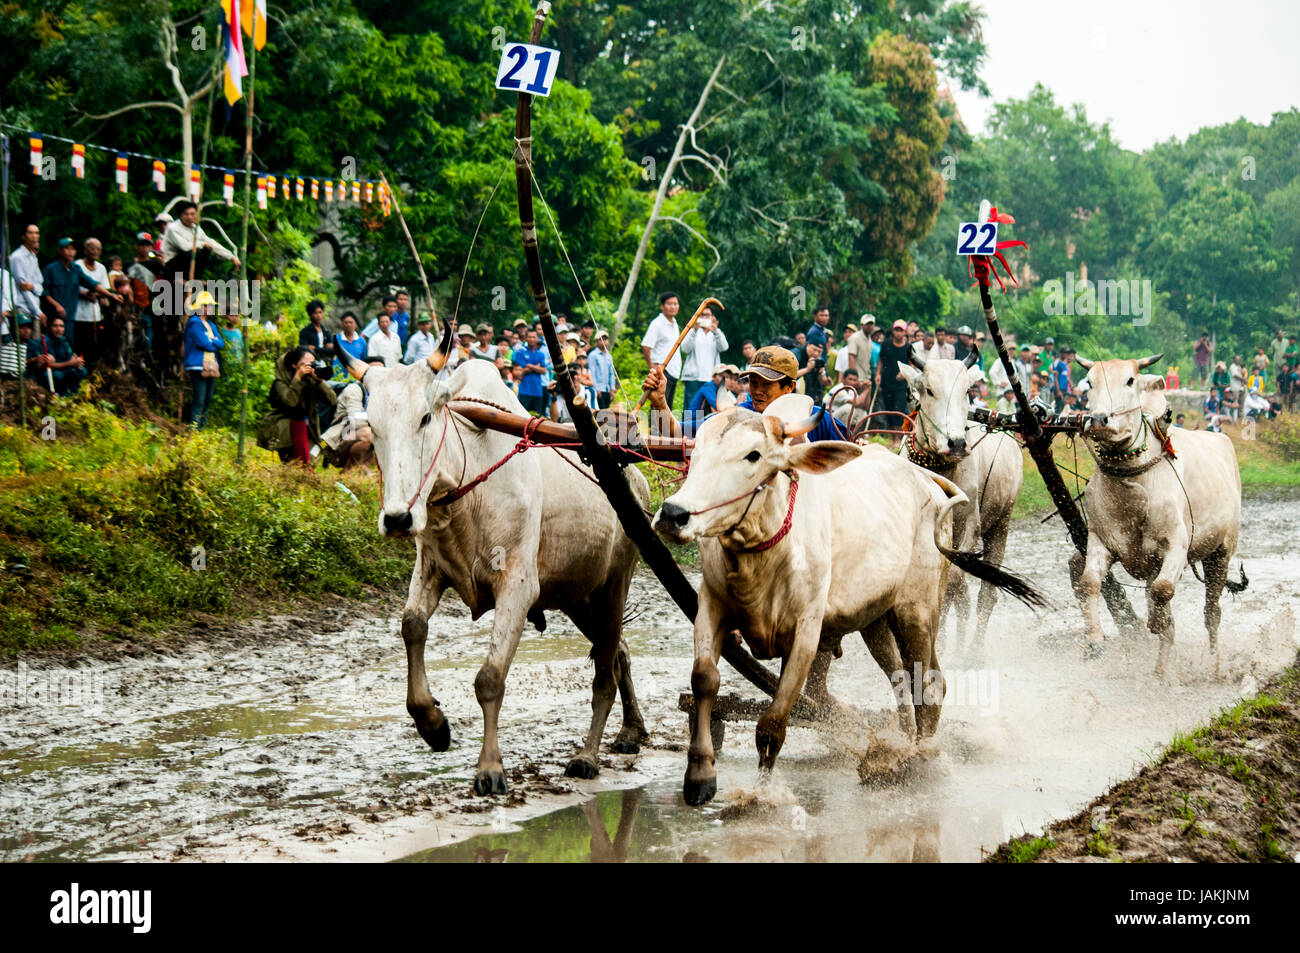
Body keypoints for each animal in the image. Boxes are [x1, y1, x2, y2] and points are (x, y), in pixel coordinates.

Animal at [339, 331, 652, 795]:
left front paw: (489, 768)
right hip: (578, 596)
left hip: (615, 584)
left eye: (425, 418)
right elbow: (412, 626)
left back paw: (587, 756)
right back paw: (631, 730)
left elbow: (489, 679)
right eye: (372, 427)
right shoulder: (430, 568)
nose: (397, 518)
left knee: (605, 674)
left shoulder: (518, 588)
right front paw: (433, 724)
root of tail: (634, 474)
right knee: (619, 653)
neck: (468, 480)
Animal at [652, 394, 1045, 805]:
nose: (674, 514)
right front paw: (699, 776)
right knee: (902, 682)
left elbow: (772, 723)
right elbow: (704, 680)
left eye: (753, 455)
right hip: (877, 623)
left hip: (918, 613)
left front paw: (761, 797)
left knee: (930, 685)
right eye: (697, 451)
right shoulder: (711, 609)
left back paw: (922, 760)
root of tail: (927, 481)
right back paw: (897, 752)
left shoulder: (805, 635)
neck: (762, 552)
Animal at [898, 350, 1024, 659]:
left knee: (985, 594)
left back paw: (972, 652)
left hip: (1001, 525)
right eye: (929, 390)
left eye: (967, 391)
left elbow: (953, 584)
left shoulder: (969, 525)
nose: (956, 443)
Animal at [1074, 353, 1246, 678]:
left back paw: (1216, 666)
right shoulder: (1101, 540)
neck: (1132, 481)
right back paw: (1160, 674)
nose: (1100, 420)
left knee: (1212, 613)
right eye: (1089, 382)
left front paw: (1156, 621)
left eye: (1130, 380)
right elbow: (1089, 582)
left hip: (1221, 553)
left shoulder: (1177, 545)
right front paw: (1095, 638)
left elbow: (1163, 591)